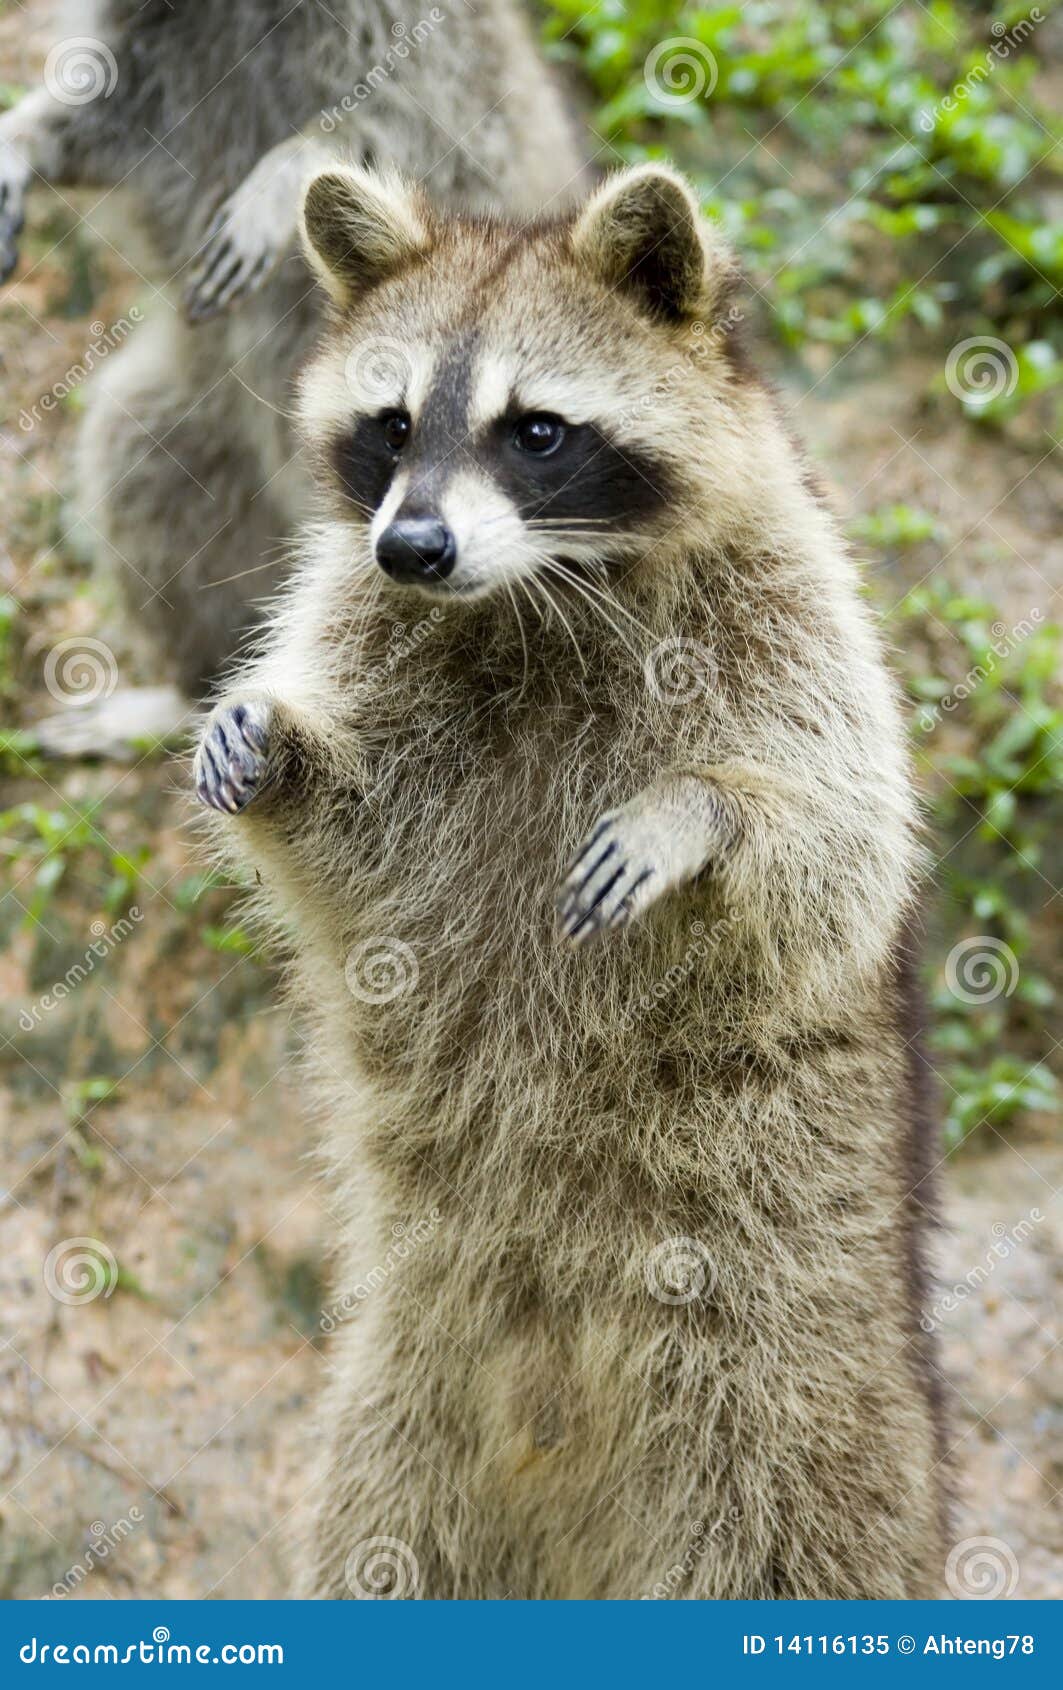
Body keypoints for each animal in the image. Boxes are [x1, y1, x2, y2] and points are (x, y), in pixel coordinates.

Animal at [0, 0, 585, 717]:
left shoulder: (427, 48)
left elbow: (401, 121)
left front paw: (293, 164)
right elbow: (105, 113)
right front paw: (22, 137)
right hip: (202, 413)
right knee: (135, 458)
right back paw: (202, 688)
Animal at [193, 162, 948, 1599]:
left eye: (534, 432)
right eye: (390, 426)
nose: (412, 547)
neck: (529, 595)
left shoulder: (789, 606)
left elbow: (839, 843)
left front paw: (701, 814)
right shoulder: (368, 621)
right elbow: (354, 841)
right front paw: (275, 746)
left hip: (779, 1384)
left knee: (778, 1537)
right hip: (399, 1407)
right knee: (380, 1535)